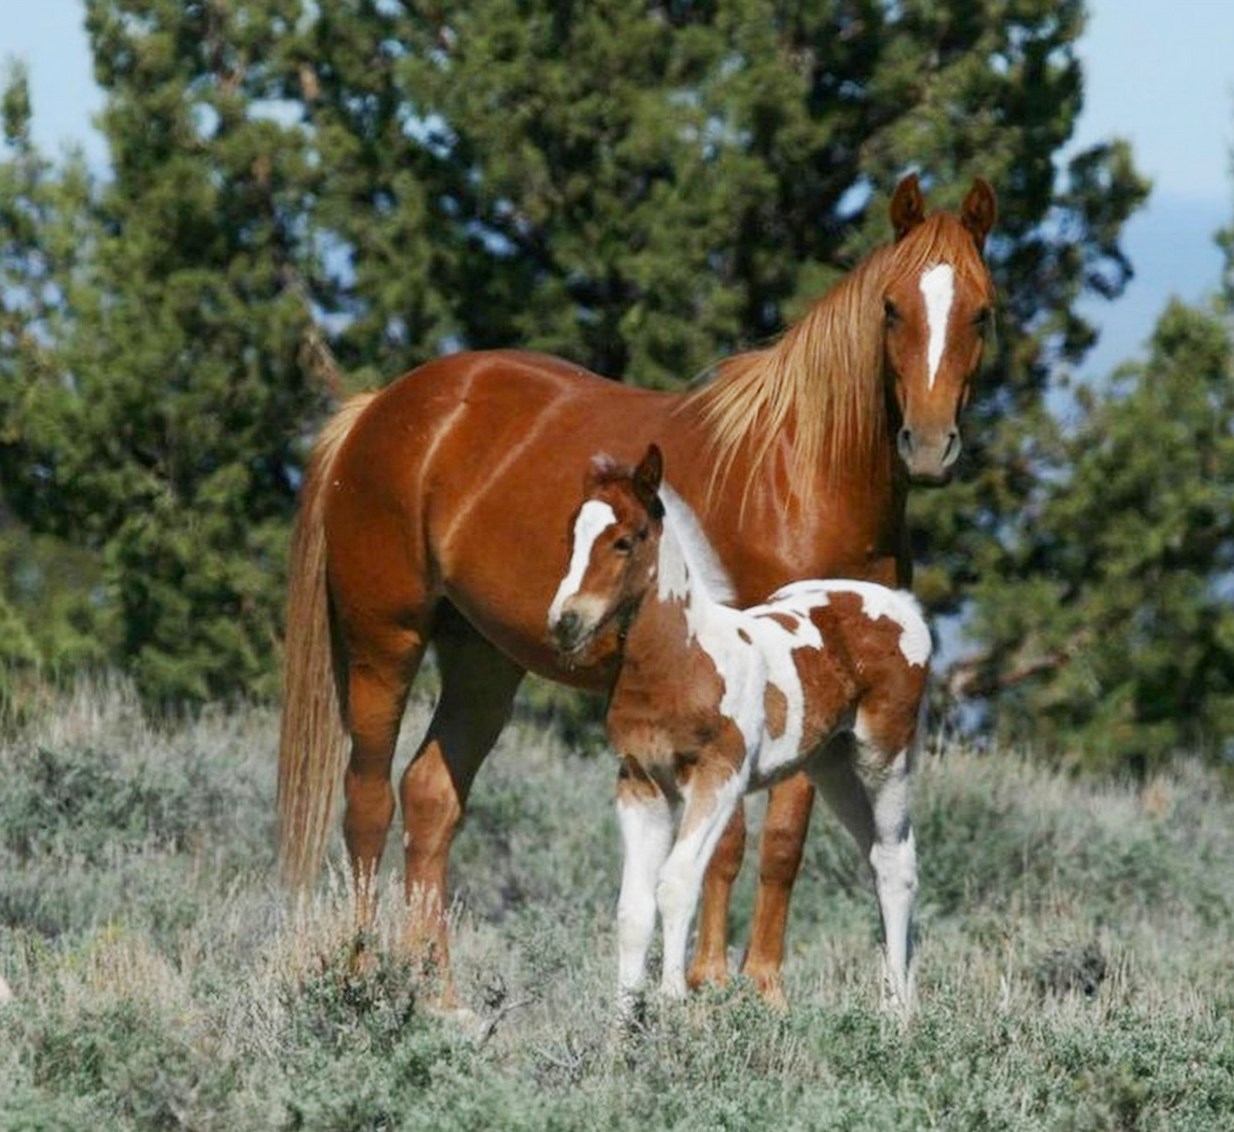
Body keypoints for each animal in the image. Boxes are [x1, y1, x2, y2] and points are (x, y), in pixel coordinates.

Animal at [547, 445, 929, 1017]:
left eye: (625, 540)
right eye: (572, 534)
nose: (565, 623)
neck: (684, 660)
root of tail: (900, 605)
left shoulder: (717, 778)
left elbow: (676, 884)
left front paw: (675, 1008)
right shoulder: (639, 783)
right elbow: (633, 909)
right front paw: (623, 1030)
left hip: (884, 757)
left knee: (894, 860)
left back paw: (897, 1015)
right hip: (832, 767)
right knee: (874, 852)